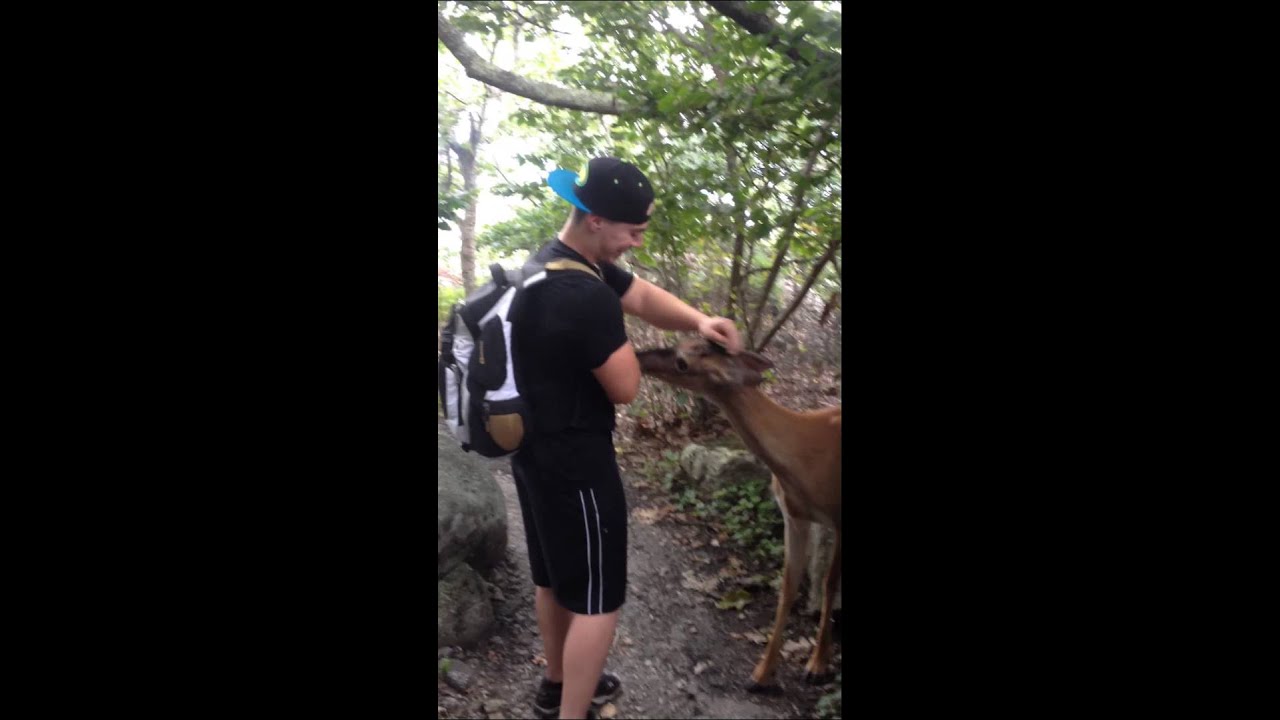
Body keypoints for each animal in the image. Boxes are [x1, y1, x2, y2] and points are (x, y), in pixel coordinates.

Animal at [635, 337, 841, 692]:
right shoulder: (794, 516)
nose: (638, 356)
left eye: (682, 362)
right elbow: (787, 587)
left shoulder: (842, 516)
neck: (804, 456)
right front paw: (762, 673)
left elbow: (829, 583)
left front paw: (818, 664)